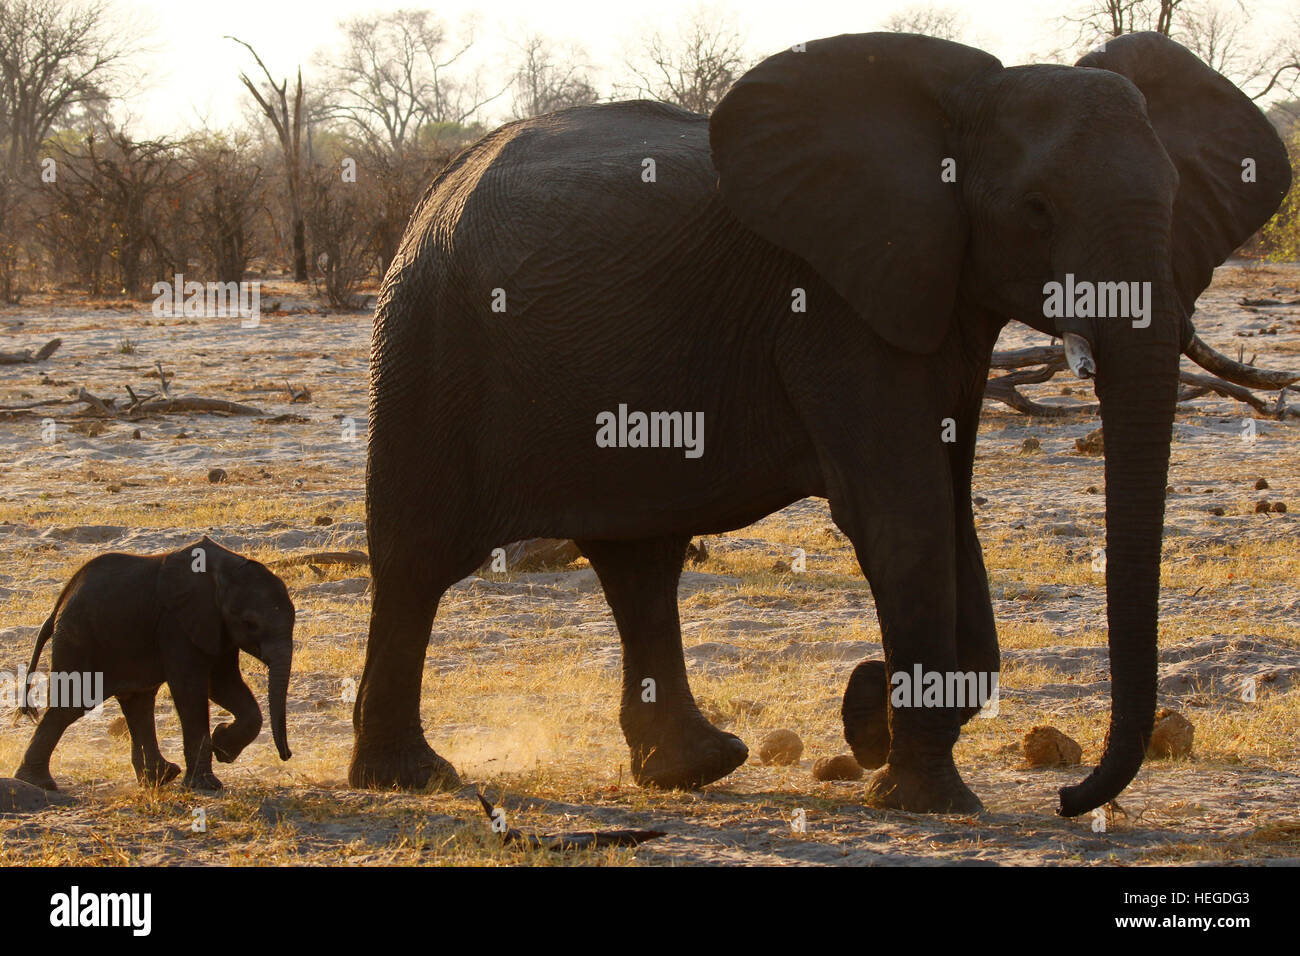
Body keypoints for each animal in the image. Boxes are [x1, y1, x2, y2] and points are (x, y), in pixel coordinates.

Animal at [15, 536, 294, 792]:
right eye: (250, 624)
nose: (287, 756)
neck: (227, 569)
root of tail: (59, 604)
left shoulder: (216, 626)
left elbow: (222, 683)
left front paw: (222, 746)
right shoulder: (177, 622)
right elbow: (191, 687)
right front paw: (207, 785)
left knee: (138, 703)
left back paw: (160, 778)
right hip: (80, 639)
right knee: (71, 705)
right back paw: (37, 783)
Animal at [349, 31, 1292, 815]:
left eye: (1175, 198)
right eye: (1036, 210)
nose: (1069, 800)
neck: (955, 109)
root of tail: (433, 190)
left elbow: (950, 512)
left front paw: (872, 721)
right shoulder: (833, 305)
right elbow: (901, 515)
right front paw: (920, 796)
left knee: (640, 562)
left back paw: (694, 769)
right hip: (429, 338)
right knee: (419, 558)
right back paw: (411, 778)